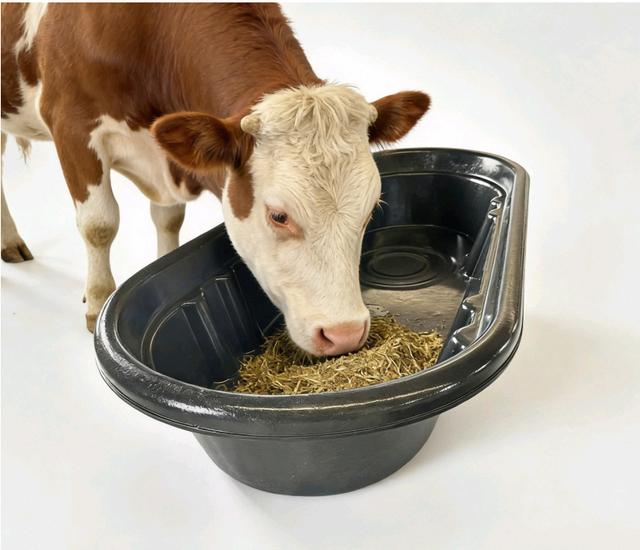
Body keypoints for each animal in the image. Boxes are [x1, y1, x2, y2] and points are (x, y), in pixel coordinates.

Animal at [1, 3, 430, 356]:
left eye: (371, 209)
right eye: (278, 216)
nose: (344, 334)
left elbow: (168, 219)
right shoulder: (71, 124)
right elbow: (99, 224)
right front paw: (97, 304)